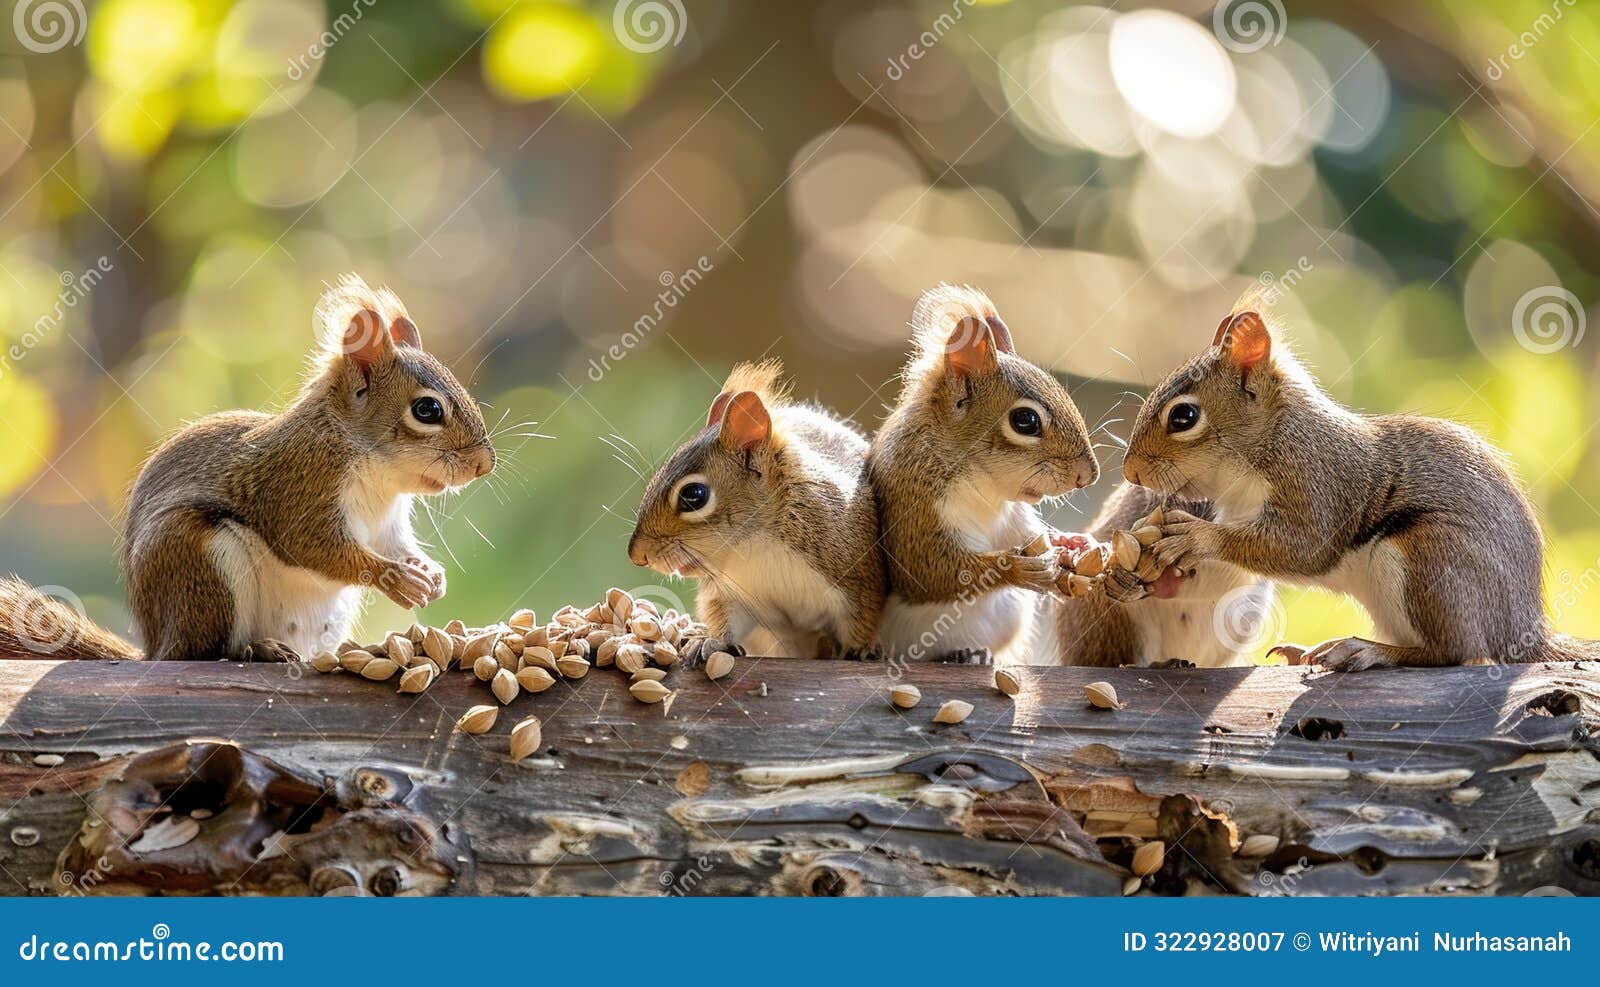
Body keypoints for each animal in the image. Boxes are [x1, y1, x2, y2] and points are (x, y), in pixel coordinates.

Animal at [0, 274, 494, 663]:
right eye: (427, 410)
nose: (484, 466)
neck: (379, 476)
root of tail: (155, 645)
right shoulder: (298, 485)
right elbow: (316, 548)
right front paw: (397, 579)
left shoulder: (388, 523)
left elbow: (397, 545)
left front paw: (430, 573)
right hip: (200, 558)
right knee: (203, 652)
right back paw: (258, 649)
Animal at [628, 360, 886, 659]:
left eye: (693, 496)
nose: (637, 555)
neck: (754, 545)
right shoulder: (732, 593)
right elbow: (727, 619)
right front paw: (711, 642)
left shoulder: (858, 577)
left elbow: (861, 618)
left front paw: (861, 649)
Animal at [869, 284, 1098, 664]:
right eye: (1025, 421)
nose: (1089, 476)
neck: (984, 489)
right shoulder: (914, 509)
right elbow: (935, 572)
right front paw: (1017, 568)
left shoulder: (1015, 517)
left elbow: (1036, 535)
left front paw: (1070, 542)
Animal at [1121, 302, 1598, 671]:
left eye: (1184, 417)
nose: (1130, 472)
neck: (1273, 440)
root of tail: (1523, 629)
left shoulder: (1319, 482)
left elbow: (1304, 548)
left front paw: (1195, 536)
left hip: (1428, 557)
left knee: (1458, 653)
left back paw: (1366, 650)